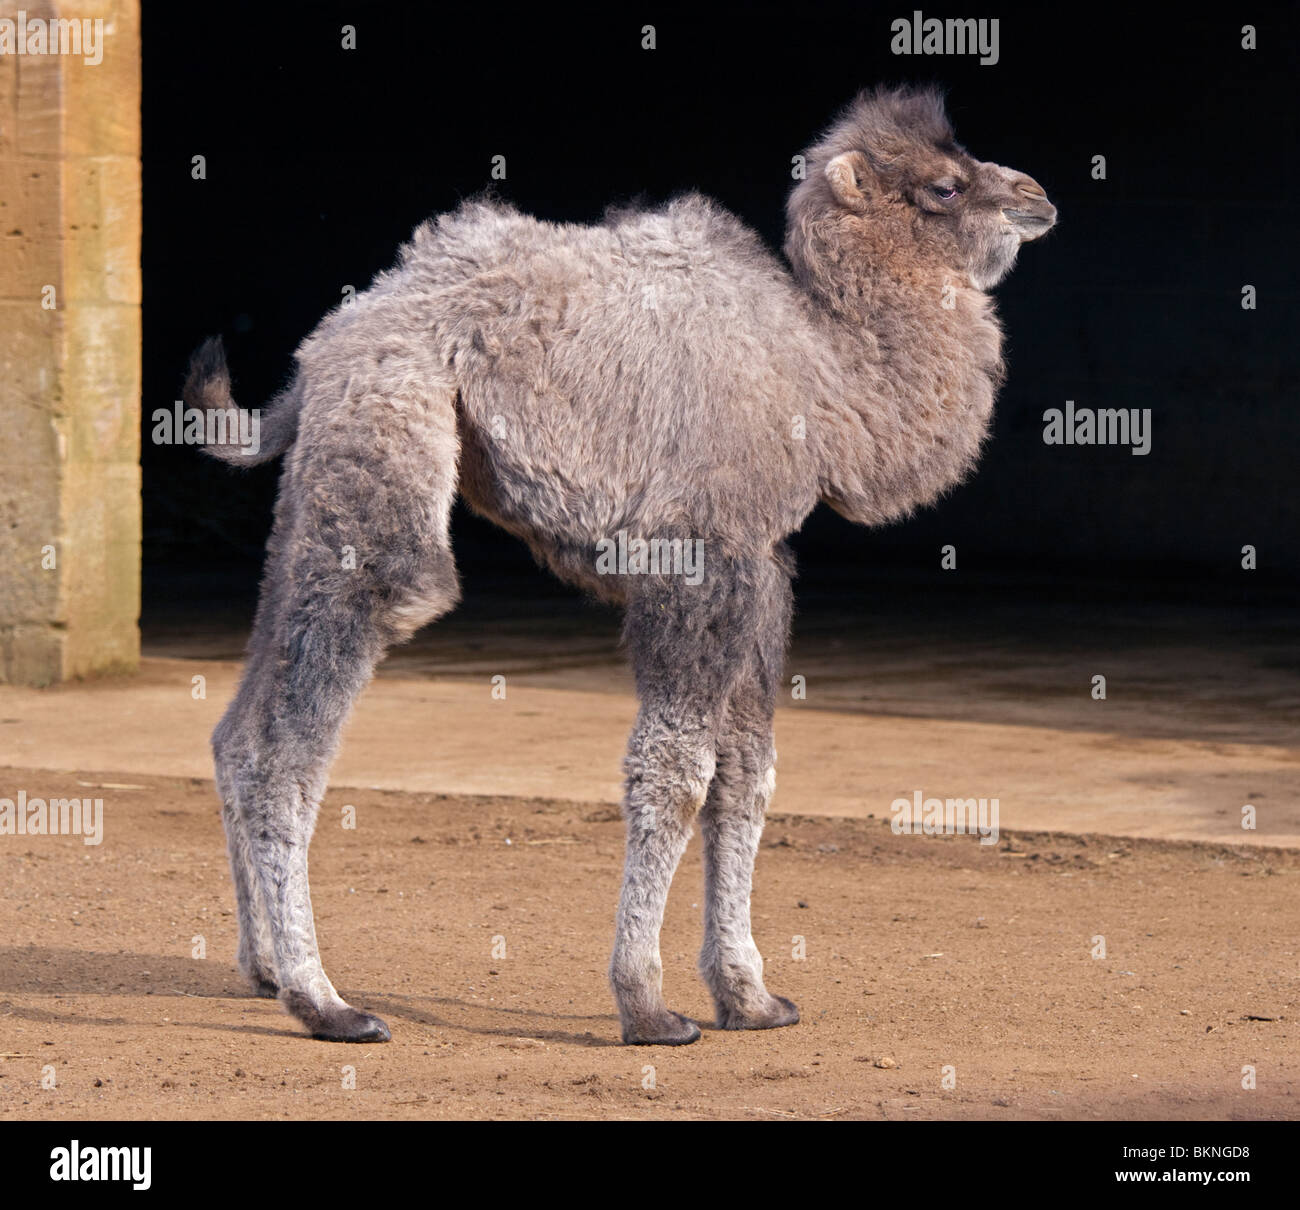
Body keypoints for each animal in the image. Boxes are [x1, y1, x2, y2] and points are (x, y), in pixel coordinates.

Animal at [185, 86, 1056, 1045]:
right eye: (943, 185)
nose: (1039, 196)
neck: (820, 376)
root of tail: (328, 344)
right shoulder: (698, 557)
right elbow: (675, 774)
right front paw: (647, 1004)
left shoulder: (760, 568)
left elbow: (746, 774)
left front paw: (751, 997)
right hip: (386, 442)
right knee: (304, 720)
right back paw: (327, 1003)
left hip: (314, 488)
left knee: (237, 727)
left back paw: (264, 968)